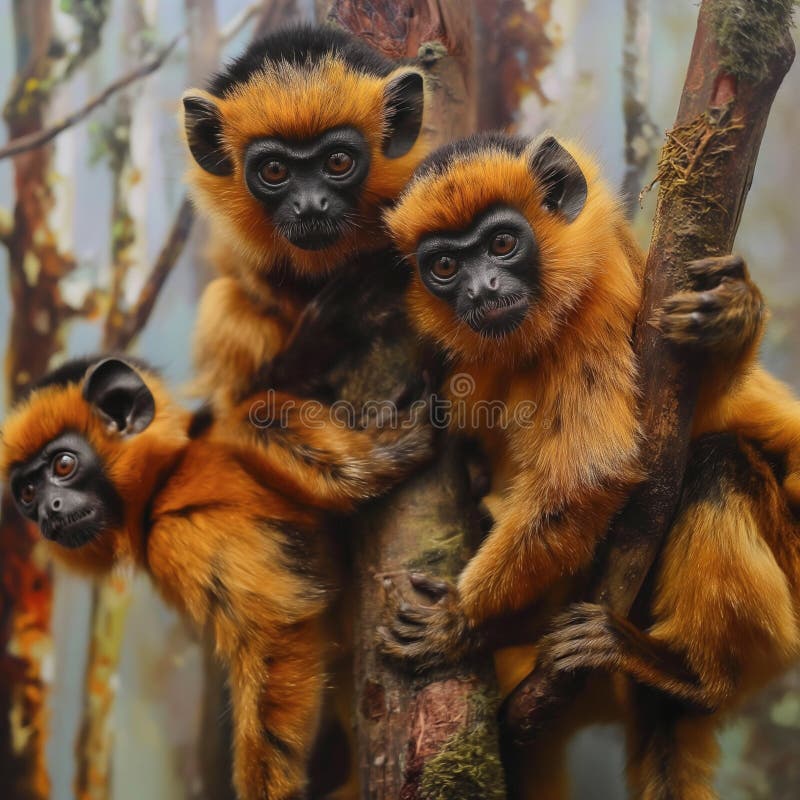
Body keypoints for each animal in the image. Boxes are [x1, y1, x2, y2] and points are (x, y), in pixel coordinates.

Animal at [1, 356, 433, 800]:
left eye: (64, 465)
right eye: (28, 493)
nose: (48, 512)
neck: (166, 478)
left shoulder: (178, 534)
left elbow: (274, 634)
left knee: (253, 418)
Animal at [376, 131, 800, 797]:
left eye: (503, 245)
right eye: (444, 267)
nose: (482, 289)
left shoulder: (598, 303)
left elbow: (590, 474)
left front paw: (464, 621)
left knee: (718, 463)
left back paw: (692, 677)